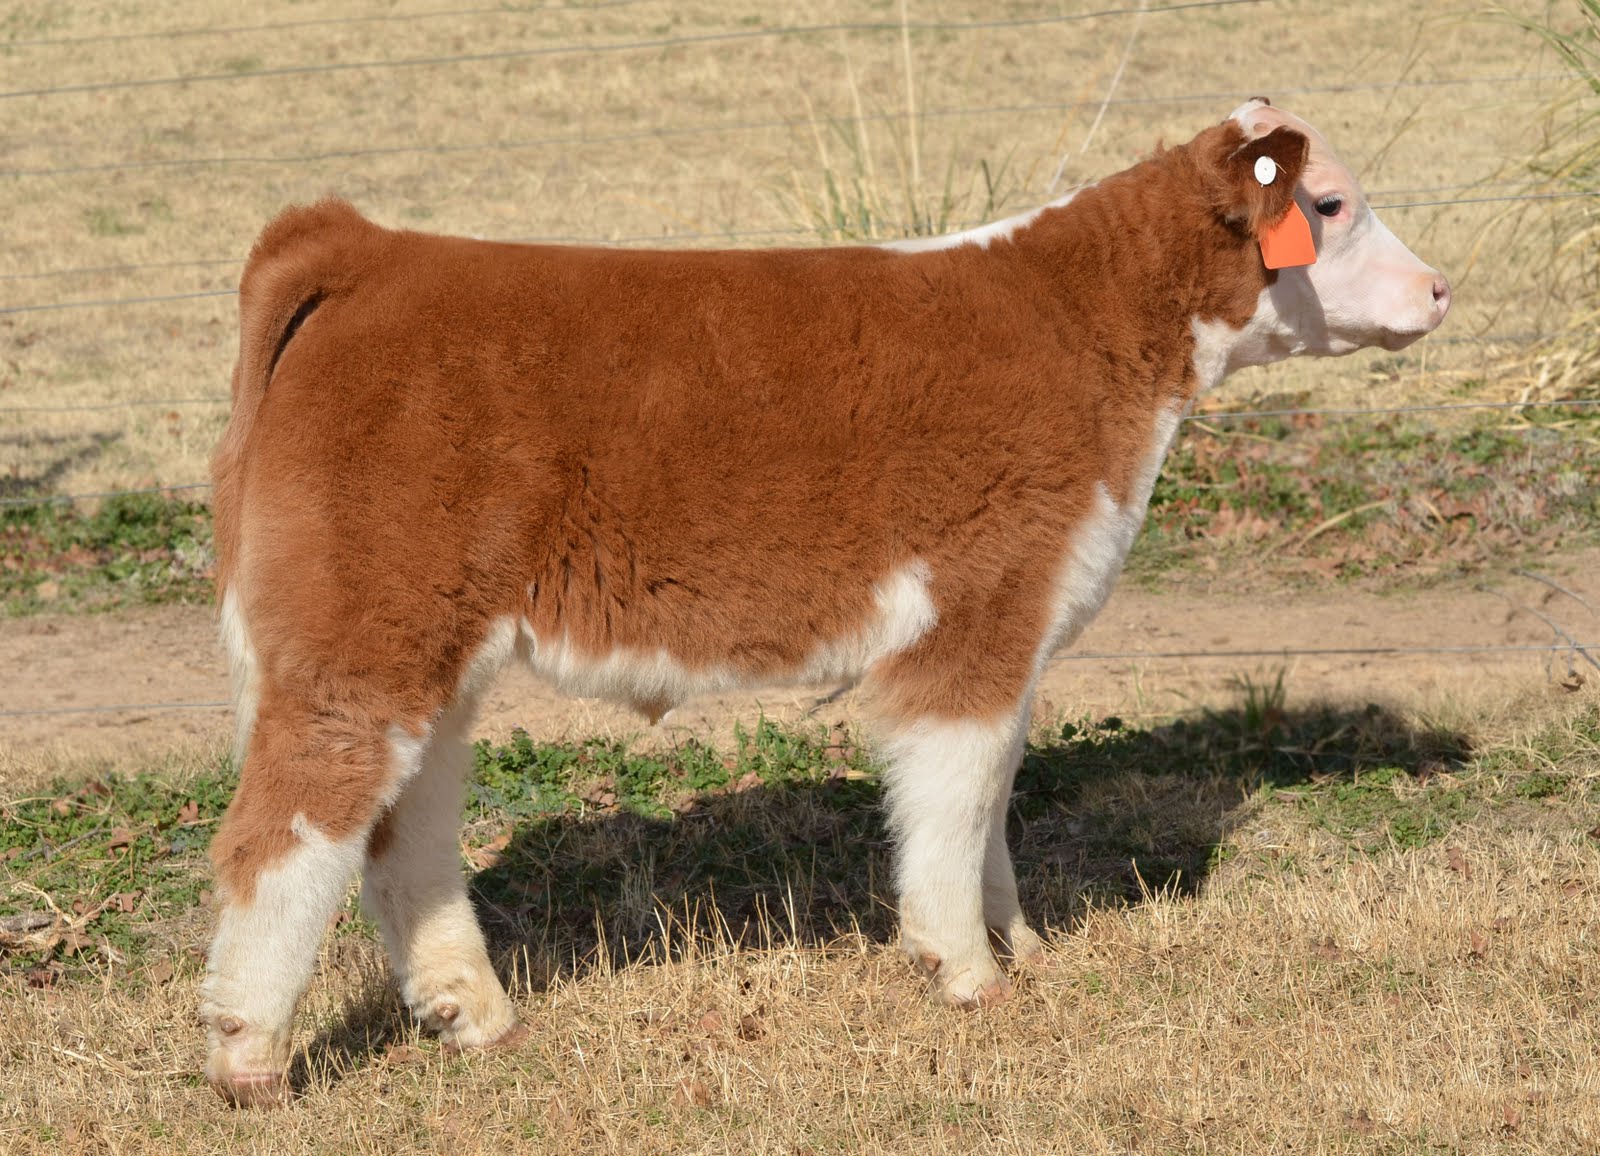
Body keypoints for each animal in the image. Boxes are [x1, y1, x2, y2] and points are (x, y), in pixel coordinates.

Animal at [200, 99, 1449, 1105]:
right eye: (1329, 203)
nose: (1440, 288)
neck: (1079, 325)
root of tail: (371, 246)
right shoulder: (981, 608)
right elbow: (954, 798)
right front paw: (965, 971)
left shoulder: (1017, 631)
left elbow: (993, 792)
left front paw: (1018, 941)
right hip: (361, 631)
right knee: (293, 819)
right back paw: (248, 1054)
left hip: (433, 639)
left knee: (404, 822)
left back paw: (477, 1013)